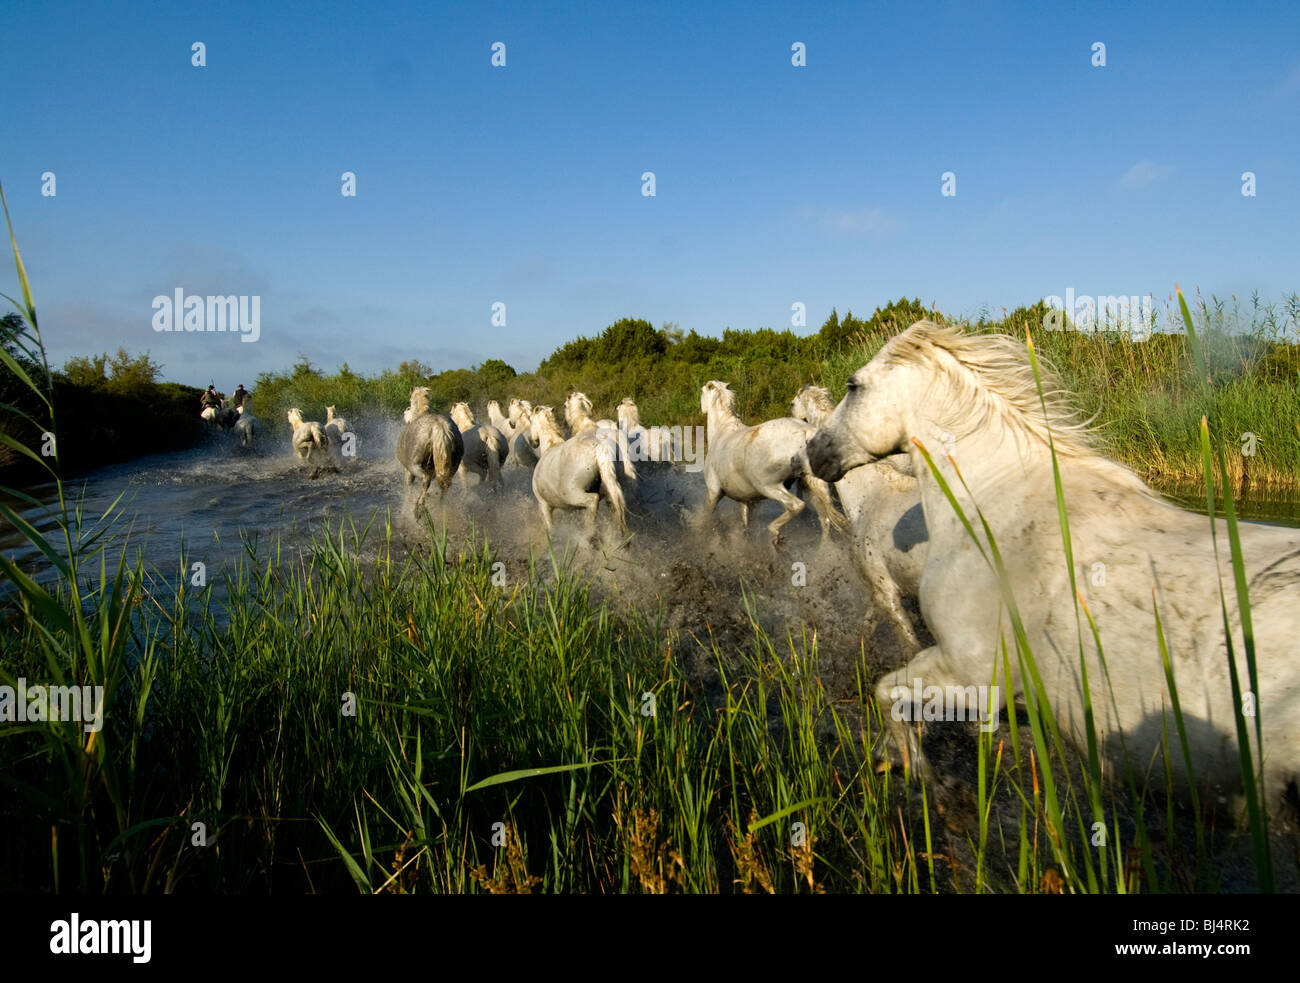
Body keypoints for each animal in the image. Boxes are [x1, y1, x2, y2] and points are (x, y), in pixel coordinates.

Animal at [396, 387, 464, 515]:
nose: (405, 411)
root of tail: (439, 427)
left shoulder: (408, 471)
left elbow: (409, 486)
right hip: (453, 467)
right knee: (445, 485)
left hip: (414, 466)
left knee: (425, 479)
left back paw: (420, 504)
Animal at [530, 405, 630, 541]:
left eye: (530, 420)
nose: (532, 441)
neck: (550, 447)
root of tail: (601, 447)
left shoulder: (545, 506)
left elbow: (551, 530)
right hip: (610, 494)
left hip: (574, 495)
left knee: (593, 500)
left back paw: (589, 535)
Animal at [699, 380, 845, 547]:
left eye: (702, 392)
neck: (721, 433)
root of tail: (806, 431)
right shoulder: (745, 500)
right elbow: (746, 525)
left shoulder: (713, 492)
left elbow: (707, 518)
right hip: (811, 487)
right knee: (825, 519)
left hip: (768, 486)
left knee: (796, 506)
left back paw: (775, 535)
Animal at [792, 384, 927, 649]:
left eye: (793, 404)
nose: (793, 462)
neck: (871, 493)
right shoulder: (880, 592)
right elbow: (866, 627)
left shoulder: (887, 590)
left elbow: (910, 647)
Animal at [807, 319, 1300, 818]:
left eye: (853, 385)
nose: (813, 450)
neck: (998, 501)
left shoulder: (973, 673)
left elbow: (886, 690)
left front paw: (927, 782)